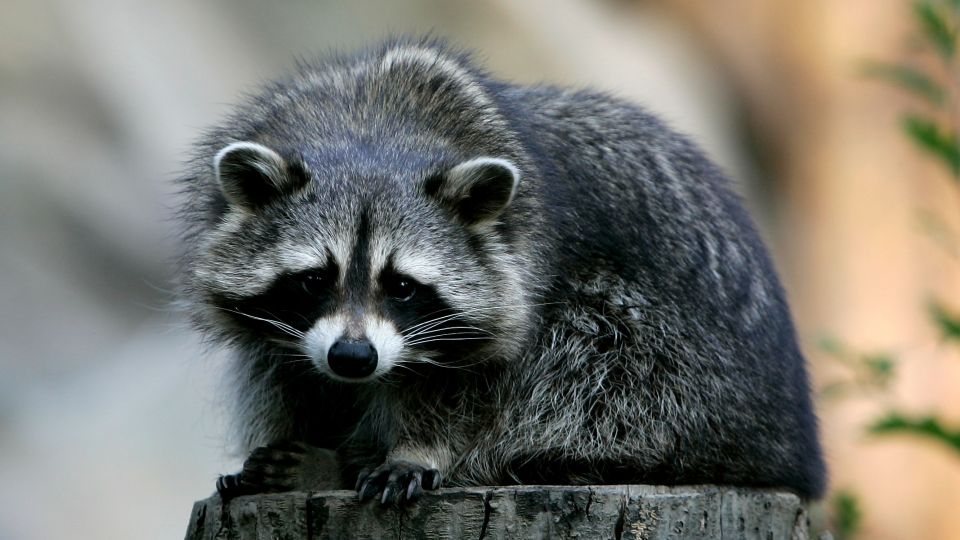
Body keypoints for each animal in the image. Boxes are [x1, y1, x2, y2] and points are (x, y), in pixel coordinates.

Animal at [177, 37, 826, 505]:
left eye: (402, 286)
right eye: (315, 278)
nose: (354, 359)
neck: (371, 129)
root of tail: (793, 451)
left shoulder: (520, 265)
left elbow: (481, 380)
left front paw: (416, 449)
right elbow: (280, 369)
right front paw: (297, 431)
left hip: (681, 382)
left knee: (585, 351)